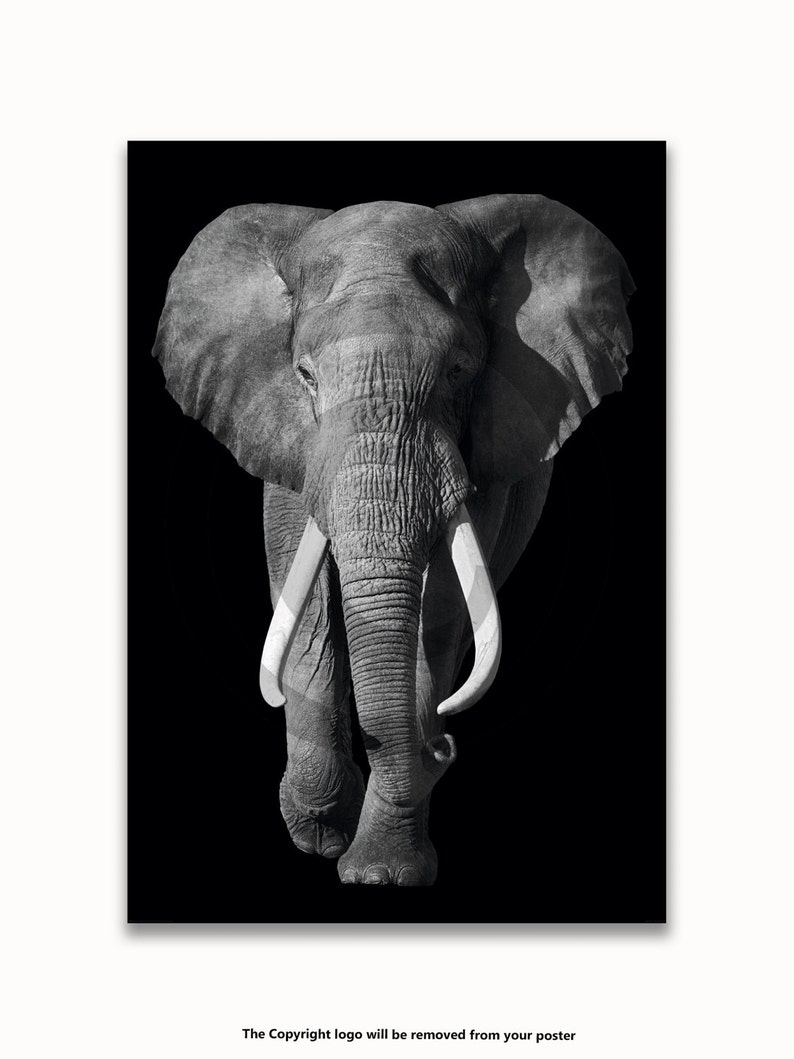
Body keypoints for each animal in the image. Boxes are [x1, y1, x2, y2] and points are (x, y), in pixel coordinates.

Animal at [152, 193, 634, 887]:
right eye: (305, 375)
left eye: (459, 370)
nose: (443, 746)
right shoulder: (289, 441)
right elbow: (306, 598)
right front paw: (322, 831)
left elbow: (440, 608)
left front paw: (381, 872)